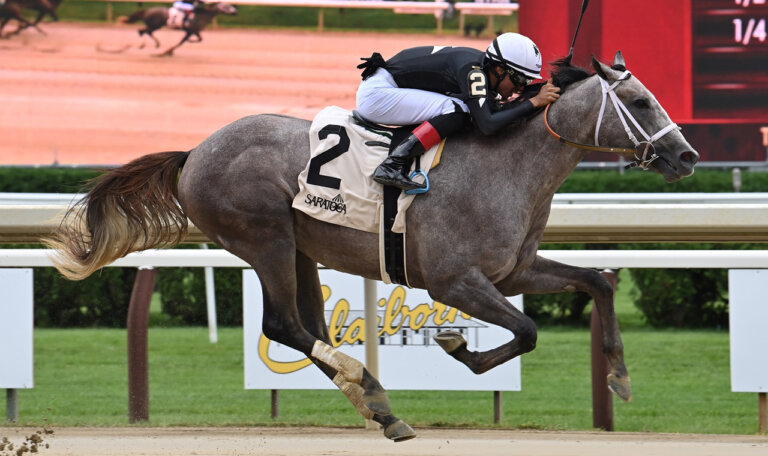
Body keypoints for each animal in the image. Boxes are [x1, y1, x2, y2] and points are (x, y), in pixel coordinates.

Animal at [44, 53, 699, 441]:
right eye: (640, 102)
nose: (687, 155)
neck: (508, 166)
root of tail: (195, 152)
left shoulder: (513, 270)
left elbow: (596, 282)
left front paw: (619, 377)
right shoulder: (455, 279)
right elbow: (528, 330)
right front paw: (458, 346)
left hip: (299, 247)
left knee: (308, 325)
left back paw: (377, 405)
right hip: (265, 238)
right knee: (284, 324)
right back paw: (372, 391)